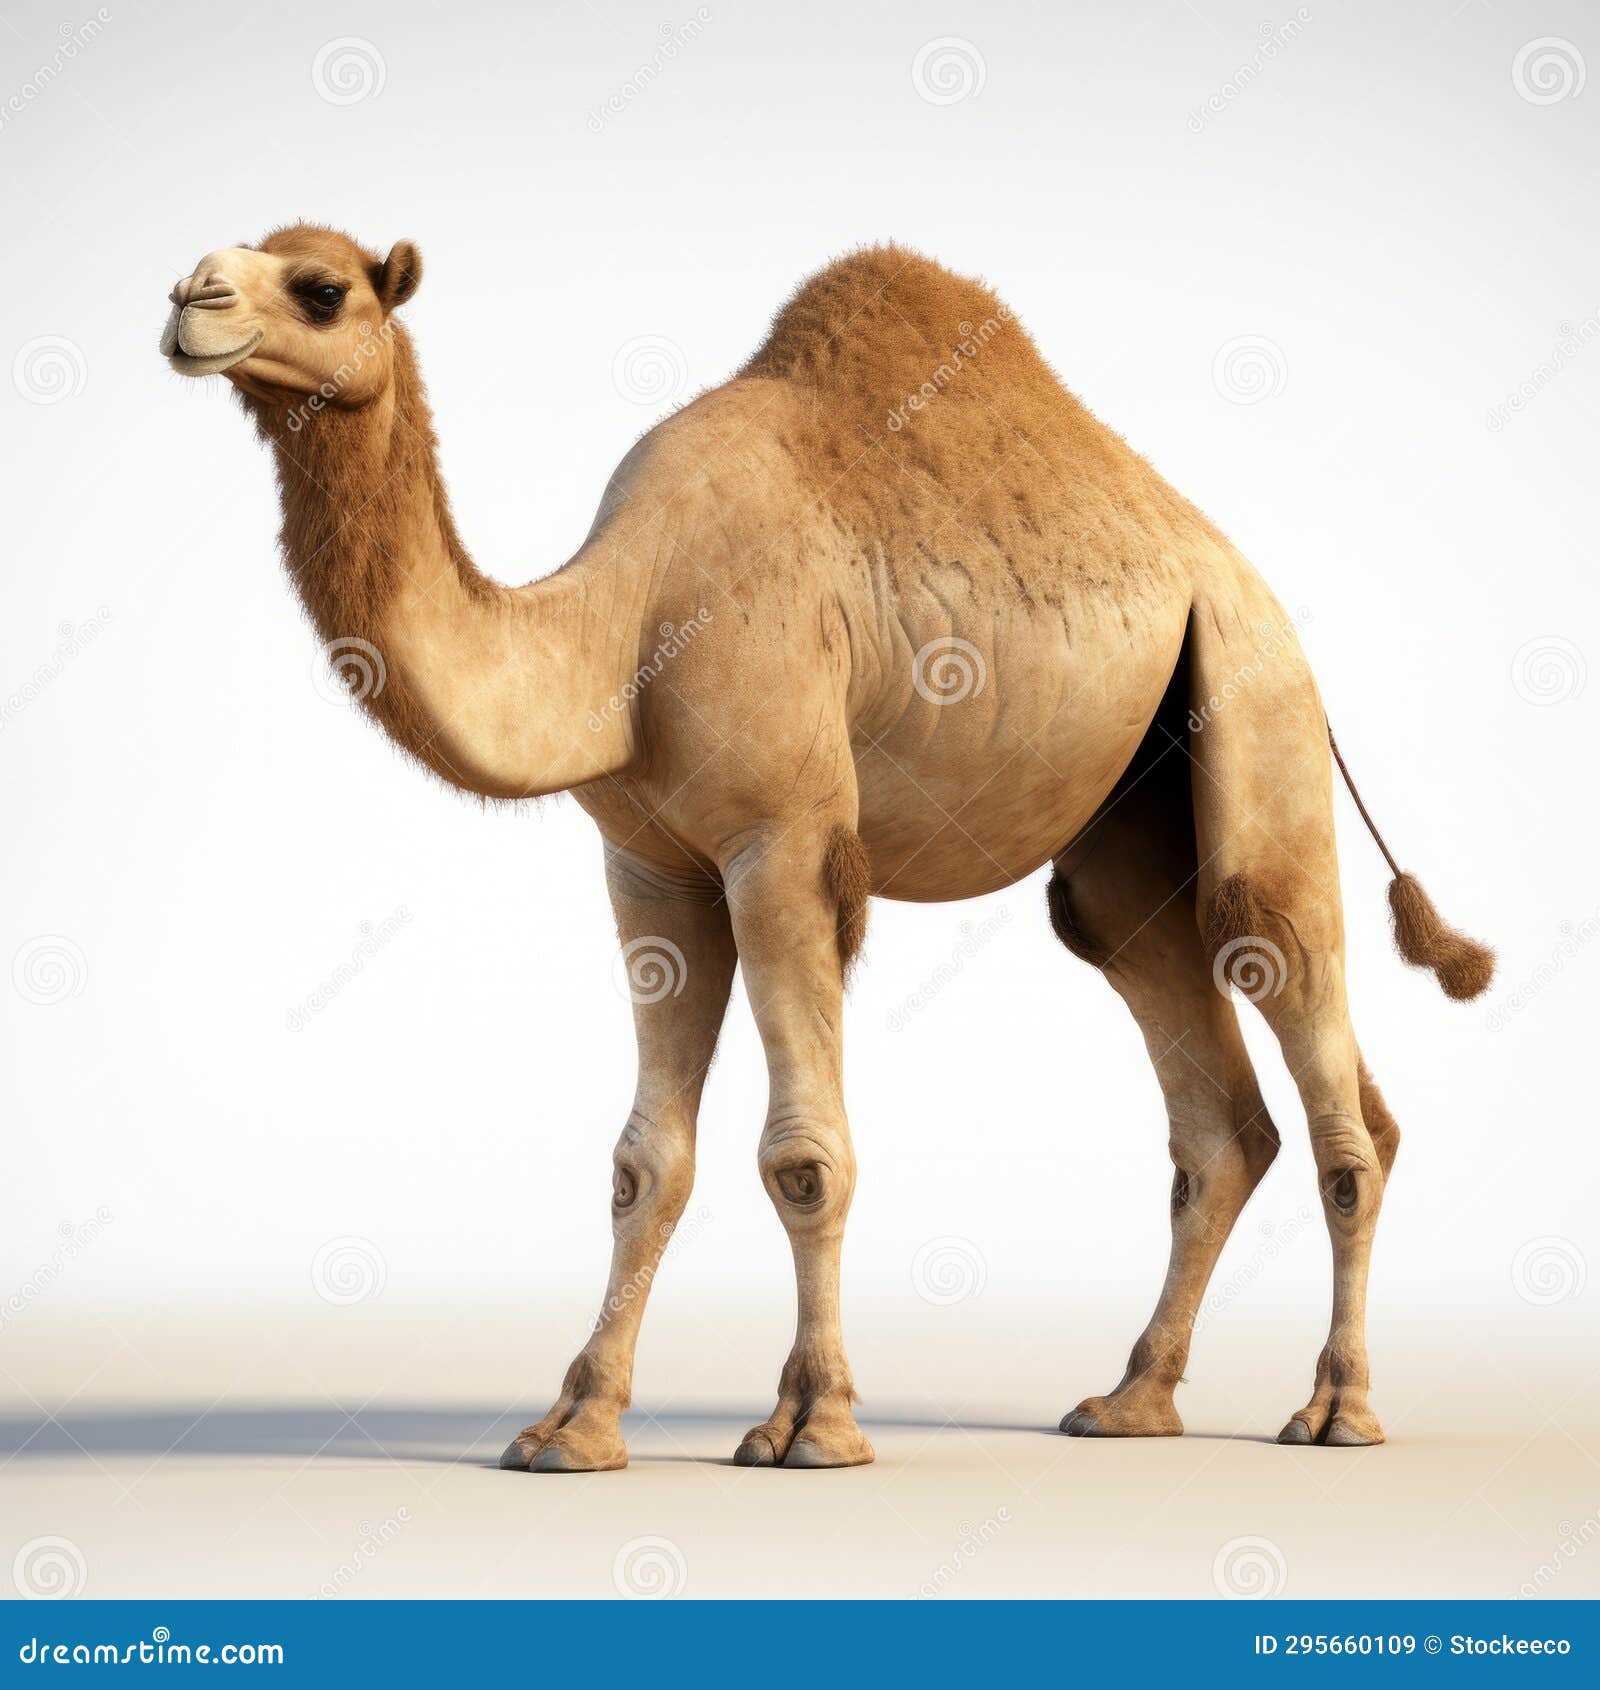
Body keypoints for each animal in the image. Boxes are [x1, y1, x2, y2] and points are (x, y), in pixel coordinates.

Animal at [161, 225, 1493, 1471]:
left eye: (322, 287)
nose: (189, 300)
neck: (624, 629)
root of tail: (1257, 595)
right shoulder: (652, 868)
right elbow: (645, 1161)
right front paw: (574, 1425)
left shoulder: (786, 842)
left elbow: (804, 1156)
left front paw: (812, 1422)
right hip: (1130, 829)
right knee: (1210, 1097)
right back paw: (1130, 1401)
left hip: (1257, 711)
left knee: (1305, 1013)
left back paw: (1335, 1409)